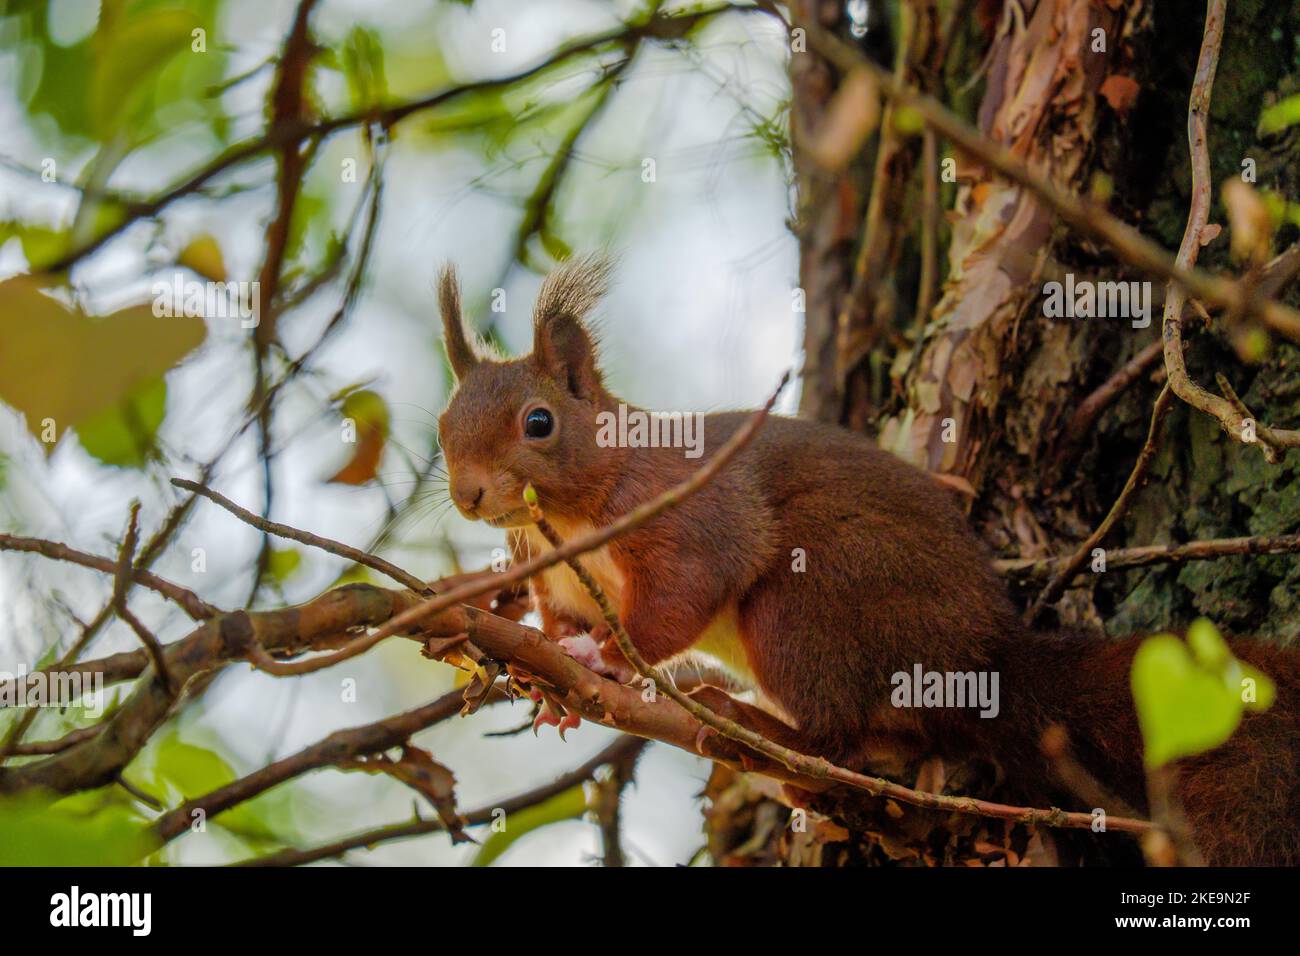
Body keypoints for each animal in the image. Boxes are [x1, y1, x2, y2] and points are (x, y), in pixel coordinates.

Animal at [435, 256, 1300, 866]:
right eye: (444, 423)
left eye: (539, 422)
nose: (468, 495)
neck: (568, 518)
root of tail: (986, 657)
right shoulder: (557, 581)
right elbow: (559, 617)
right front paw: (554, 680)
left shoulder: (687, 517)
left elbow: (681, 595)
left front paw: (604, 659)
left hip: (807, 606)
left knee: (836, 734)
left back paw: (761, 734)